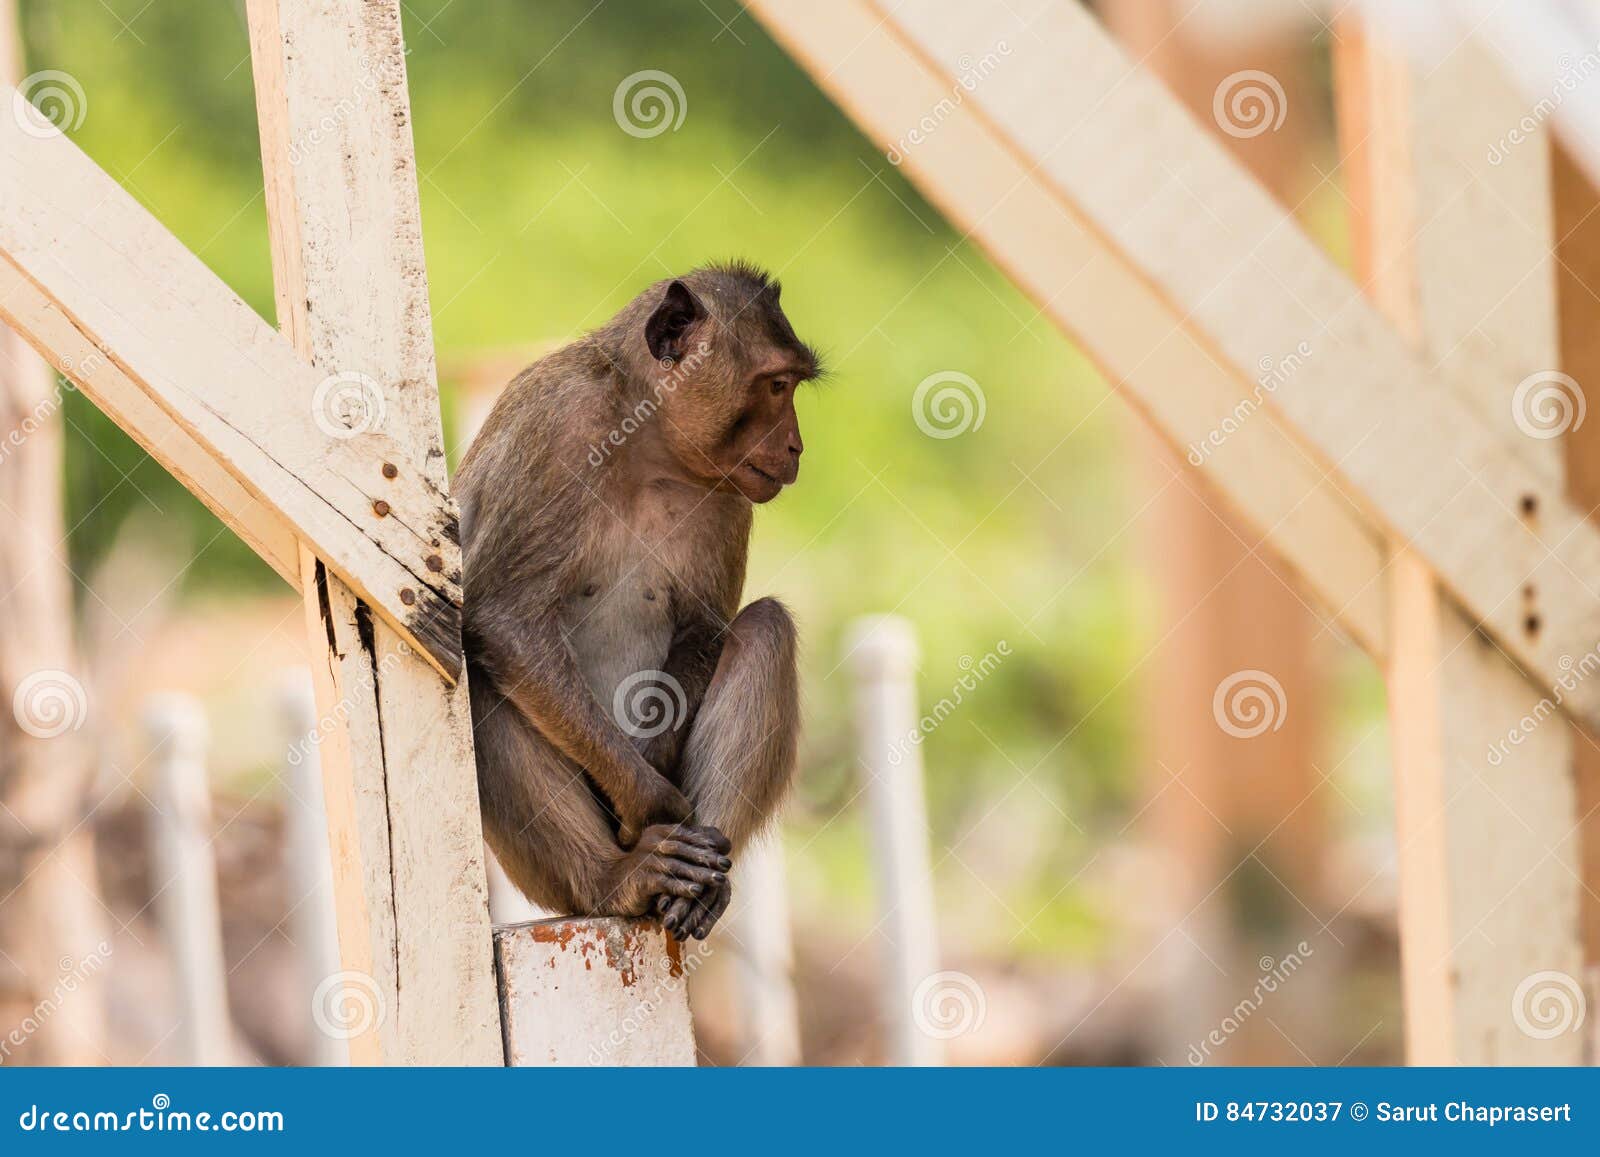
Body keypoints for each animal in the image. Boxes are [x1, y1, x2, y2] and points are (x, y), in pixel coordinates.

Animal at [456, 261, 819, 940]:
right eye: (778, 385)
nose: (796, 447)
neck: (644, 442)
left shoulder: (728, 493)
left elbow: (704, 628)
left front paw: (661, 778)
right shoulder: (557, 428)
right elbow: (506, 622)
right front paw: (655, 803)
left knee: (766, 629)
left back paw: (700, 884)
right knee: (479, 672)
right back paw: (617, 878)